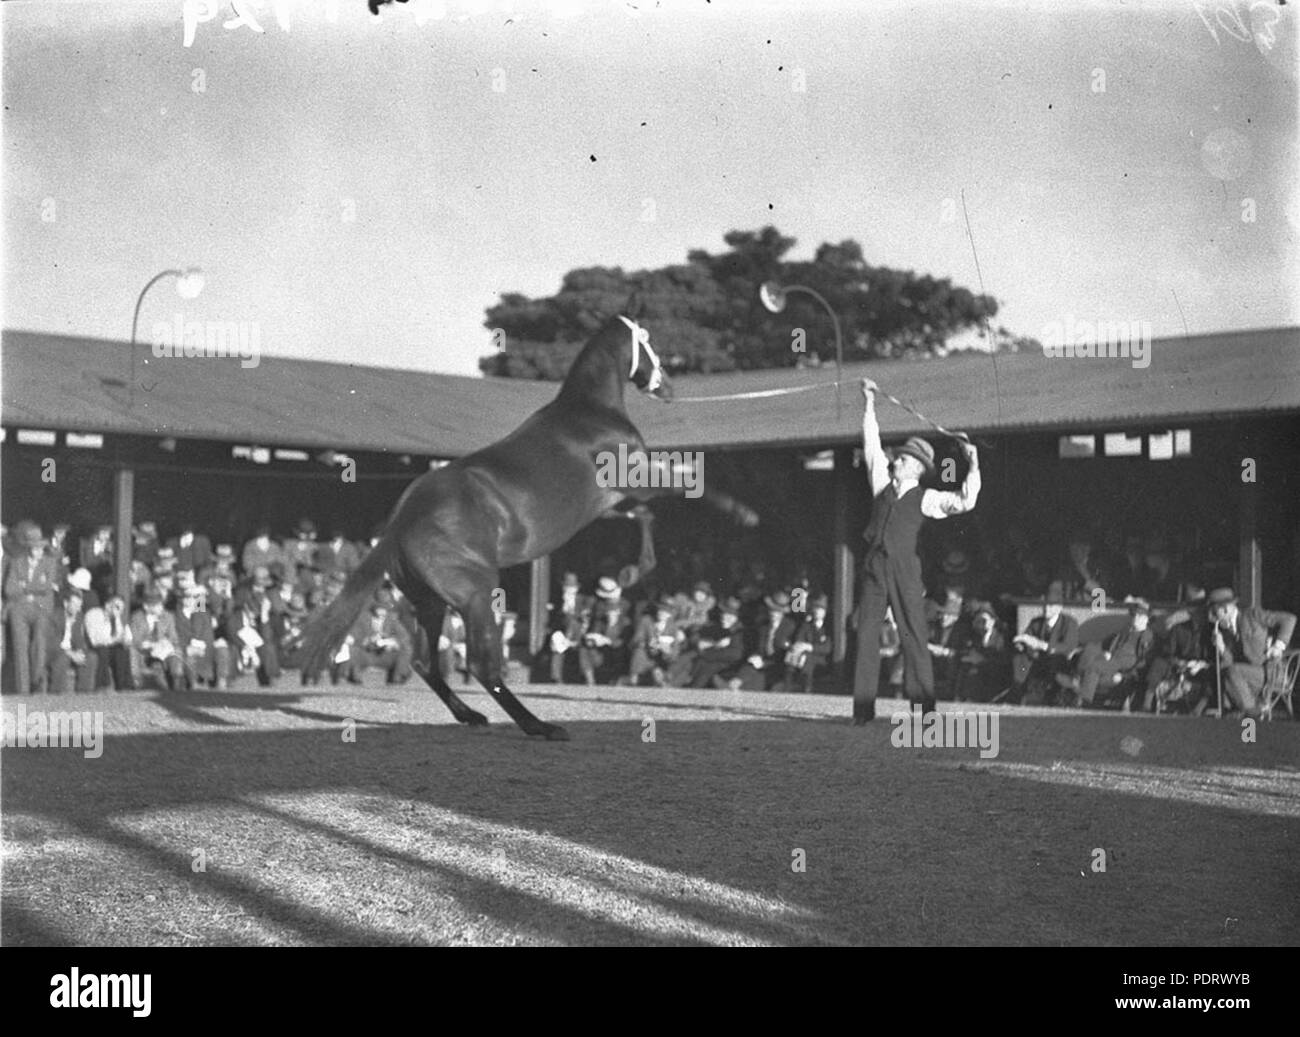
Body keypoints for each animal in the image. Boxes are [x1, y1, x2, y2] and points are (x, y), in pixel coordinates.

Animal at [300, 303, 754, 740]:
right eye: (647, 339)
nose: (669, 388)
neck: (590, 413)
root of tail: (399, 526)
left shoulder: (611, 503)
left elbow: (643, 516)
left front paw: (632, 571)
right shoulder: (637, 479)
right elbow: (693, 484)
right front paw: (746, 514)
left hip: (429, 602)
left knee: (426, 663)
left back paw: (472, 716)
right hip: (477, 596)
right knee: (482, 666)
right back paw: (539, 726)